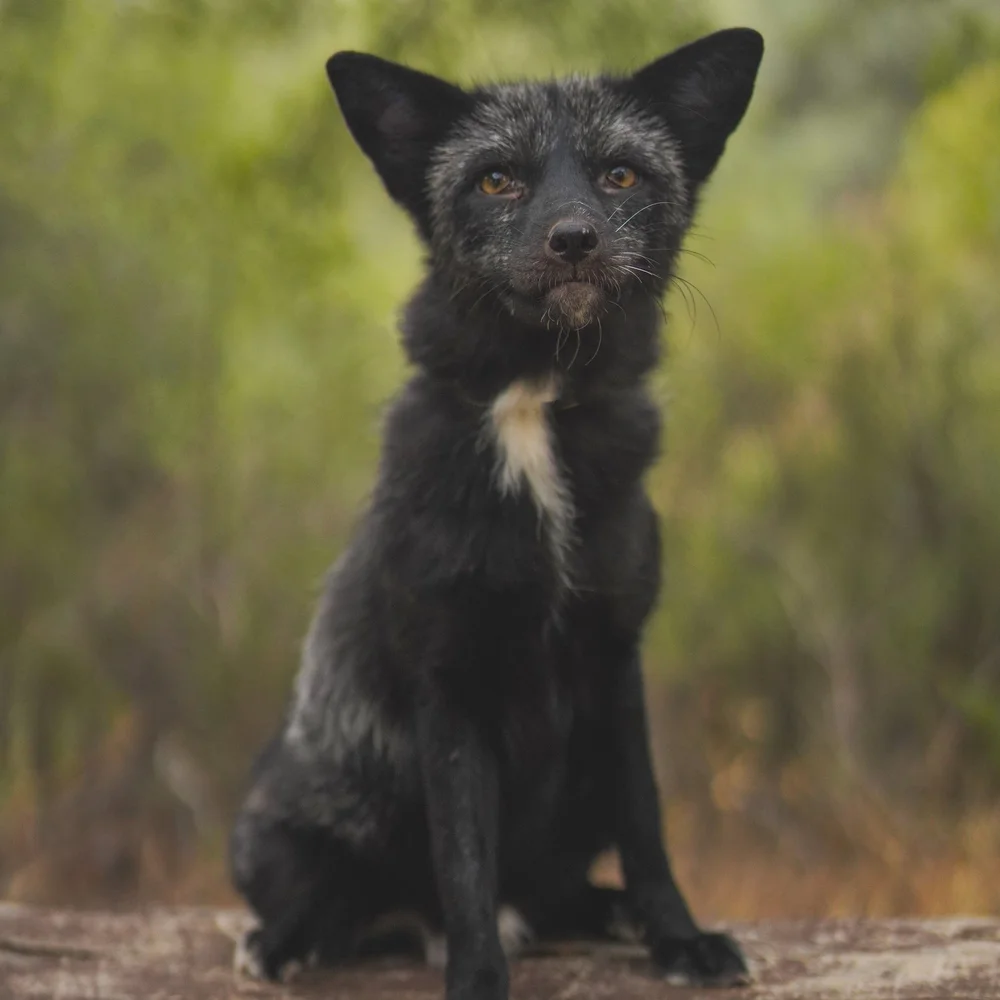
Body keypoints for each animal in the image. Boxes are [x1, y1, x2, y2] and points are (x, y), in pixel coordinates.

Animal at [229, 27, 764, 1000]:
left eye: (621, 174)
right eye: (496, 180)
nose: (574, 239)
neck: (531, 407)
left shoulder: (614, 656)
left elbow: (648, 826)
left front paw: (678, 936)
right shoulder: (449, 681)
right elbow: (464, 861)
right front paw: (479, 976)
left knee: (560, 888)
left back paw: (605, 913)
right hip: (305, 821)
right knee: (348, 900)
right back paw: (291, 937)